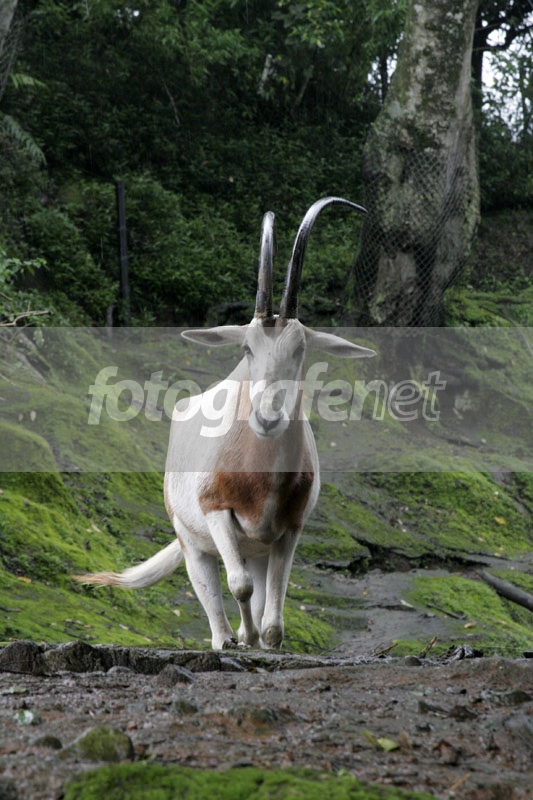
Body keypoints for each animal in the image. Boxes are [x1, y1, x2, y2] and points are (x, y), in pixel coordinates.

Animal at [76, 197, 375, 650]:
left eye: (300, 349)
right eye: (247, 347)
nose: (267, 417)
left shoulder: (289, 528)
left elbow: (273, 618)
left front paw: (262, 640)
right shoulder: (217, 512)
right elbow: (239, 586)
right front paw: (244, 637)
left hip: (256, 548)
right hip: (193, 542)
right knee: (214, 592)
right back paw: (226, 638)